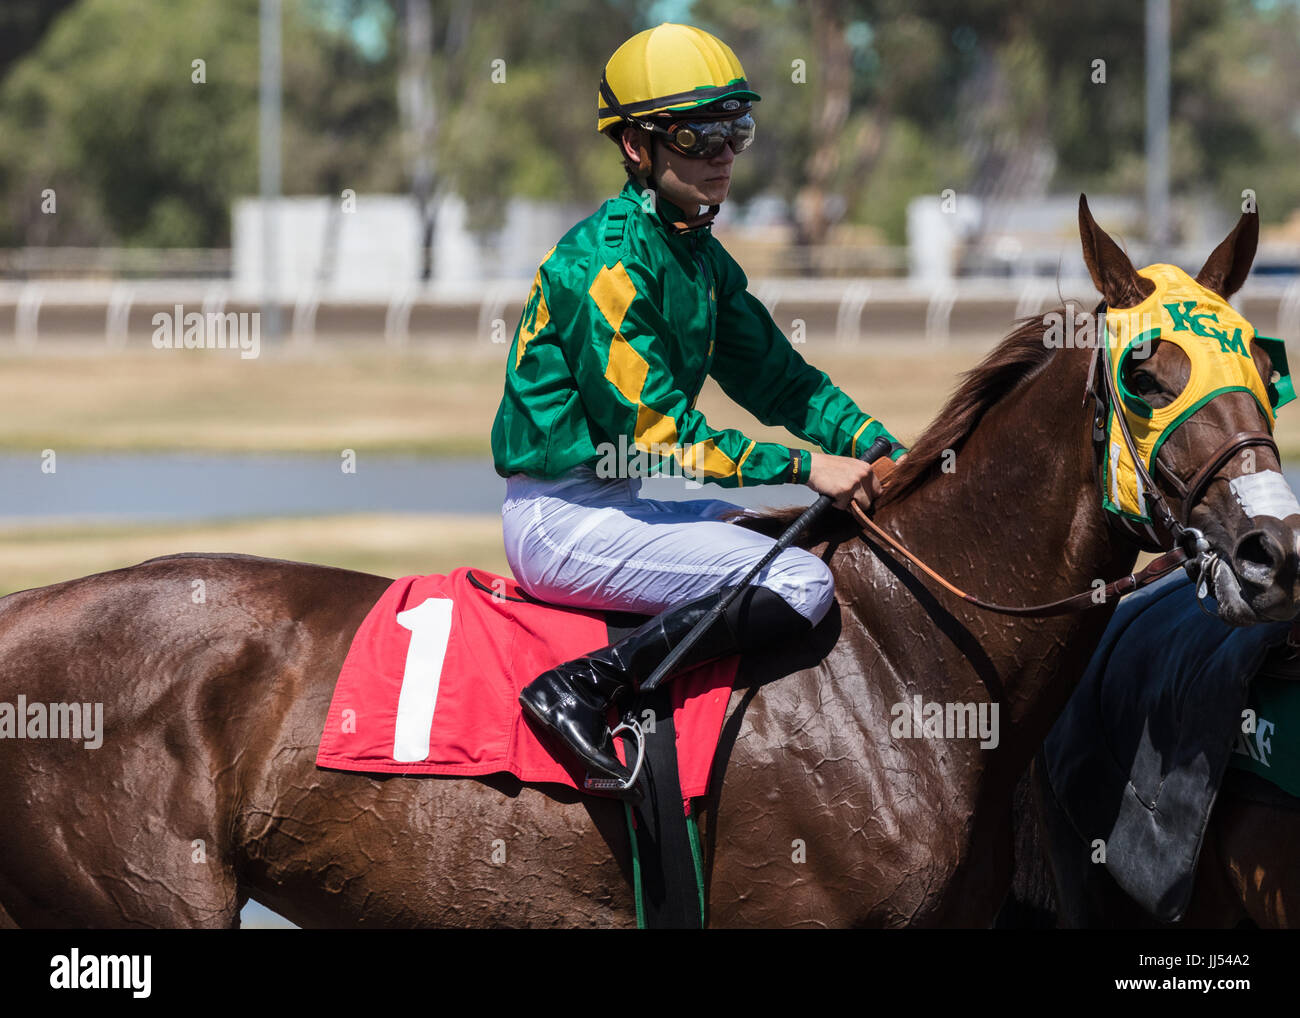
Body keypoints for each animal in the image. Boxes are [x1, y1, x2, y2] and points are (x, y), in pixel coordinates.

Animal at [0, 196, 1294, 928]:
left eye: (1263, 362)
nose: (1269, 547)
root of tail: (29, 608)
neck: (901, 659)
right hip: (144, 898)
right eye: (1148, 374)